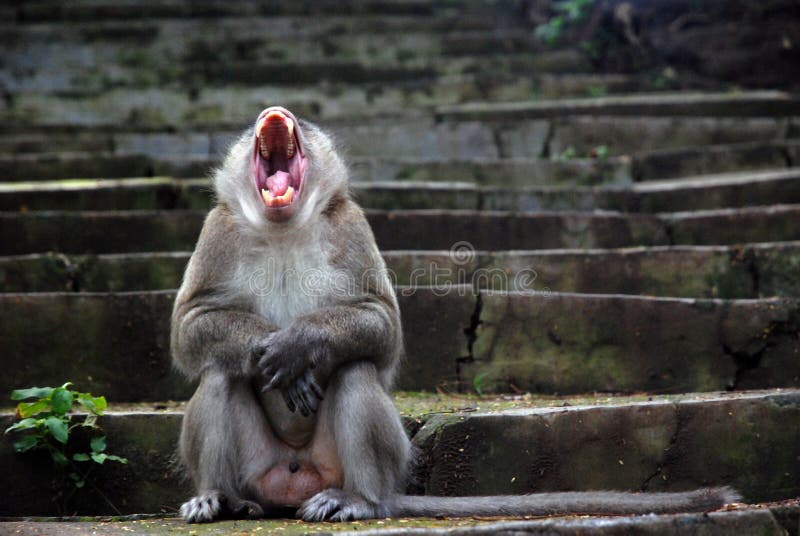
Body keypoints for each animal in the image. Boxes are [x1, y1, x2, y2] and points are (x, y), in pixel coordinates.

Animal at [170, 106, 740, 523]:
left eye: (302, 125)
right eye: (254, 126)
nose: (275, 113)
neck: (284, 227)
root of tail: (291, 483)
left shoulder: (349, 226)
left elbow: (382, 324)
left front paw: (298, 345)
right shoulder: (218, 231)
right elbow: (191, 326)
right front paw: (271, 348)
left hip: (352, 467)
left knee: (355, 371)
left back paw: (358, 500)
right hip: (262, 471)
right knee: (221, 371)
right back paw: (221, 499)